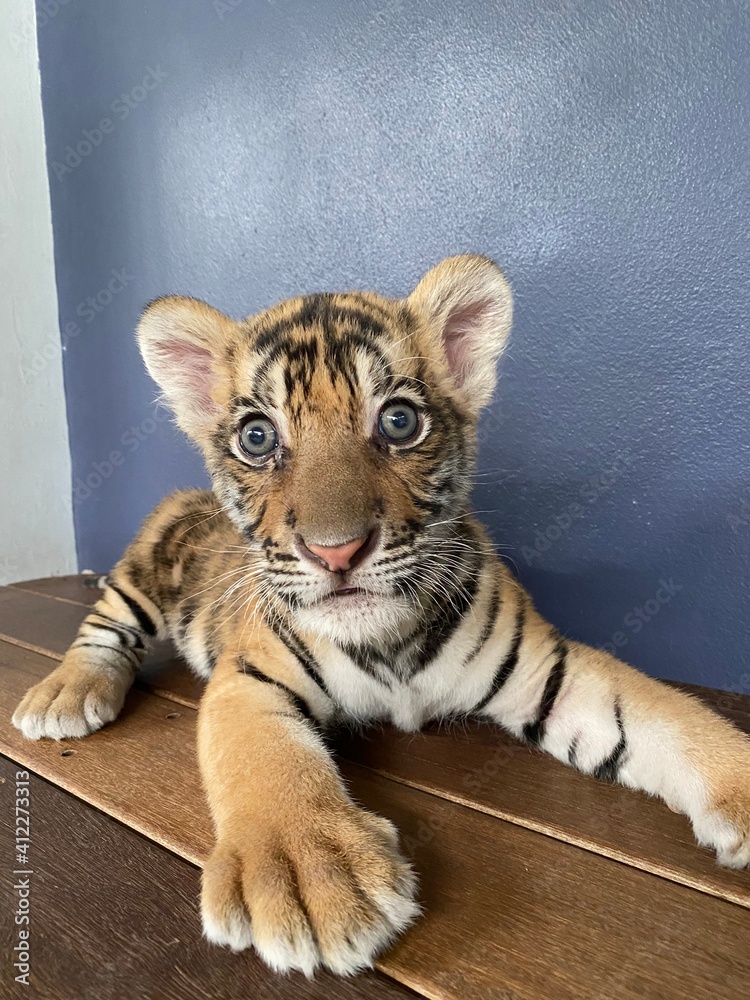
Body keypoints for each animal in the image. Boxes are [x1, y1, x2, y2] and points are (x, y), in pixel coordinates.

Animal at [12, 255, 750, 977]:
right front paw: (309, 876)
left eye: (399, 422)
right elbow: (266, 759)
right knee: (102, 630)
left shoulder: (548, 668)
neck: (388, 644)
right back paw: (62, 697)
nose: (336, 550)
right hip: (141, 569)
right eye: (258, 437)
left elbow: (666, 716)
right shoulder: (248, 678)